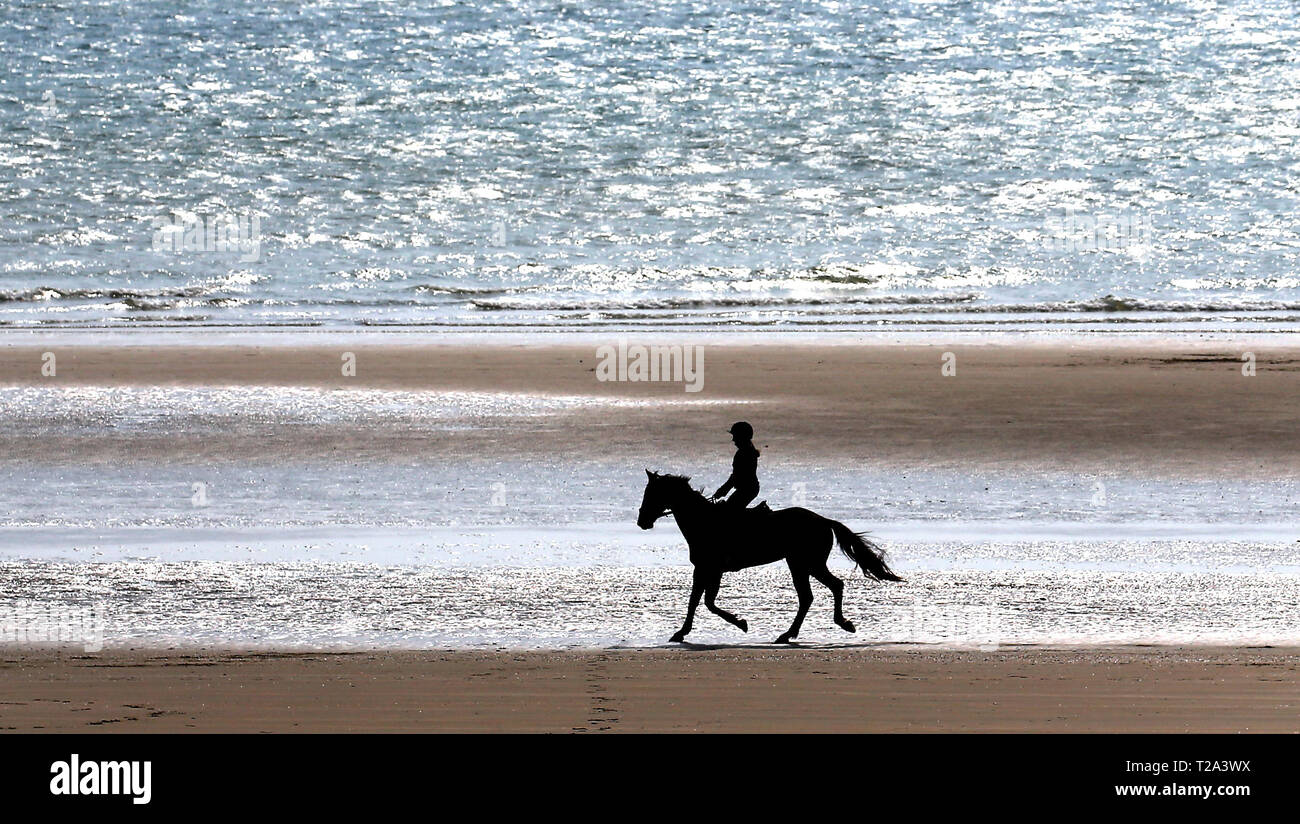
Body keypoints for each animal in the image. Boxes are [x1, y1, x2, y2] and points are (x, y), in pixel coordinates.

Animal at [637, 470, 902, 644]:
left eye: (652, 493)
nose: (642, 521)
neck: (703, 521)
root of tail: (824, 521)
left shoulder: (710, 569)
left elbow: (705, 602)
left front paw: (740, 623)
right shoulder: (705, 569)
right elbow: (697, 601)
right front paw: (682, 632)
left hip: (807, 563)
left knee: (827, 588)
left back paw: (829, 626)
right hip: (802, 564)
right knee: (813, 594)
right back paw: (794, 633)